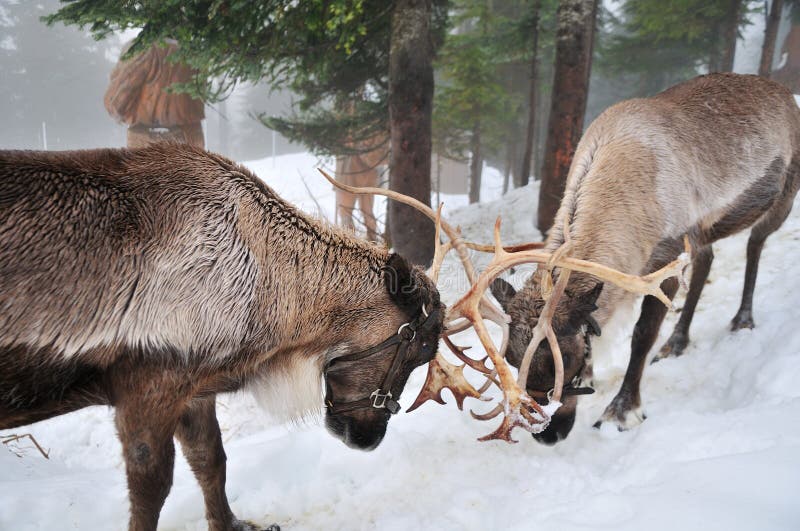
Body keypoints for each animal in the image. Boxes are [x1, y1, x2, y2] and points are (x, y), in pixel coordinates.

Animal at [0, 143, 445, 531]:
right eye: (416, 347)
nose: (369, 438)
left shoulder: (193, 389)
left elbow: (211, 461)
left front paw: (230, 523)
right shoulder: (149, 385)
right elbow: (150, 490)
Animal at [324, 72, 800, 446]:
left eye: (569, 359)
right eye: (511, 361)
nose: (549, 435)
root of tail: (782, 91)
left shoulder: (666, 255)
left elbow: (641, 335)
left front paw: (622, 411)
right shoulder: (677, 246)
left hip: (782, 194)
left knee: (756, 245)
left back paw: (742, 319)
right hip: (704, 236)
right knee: (708, 262)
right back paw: (679, 342)